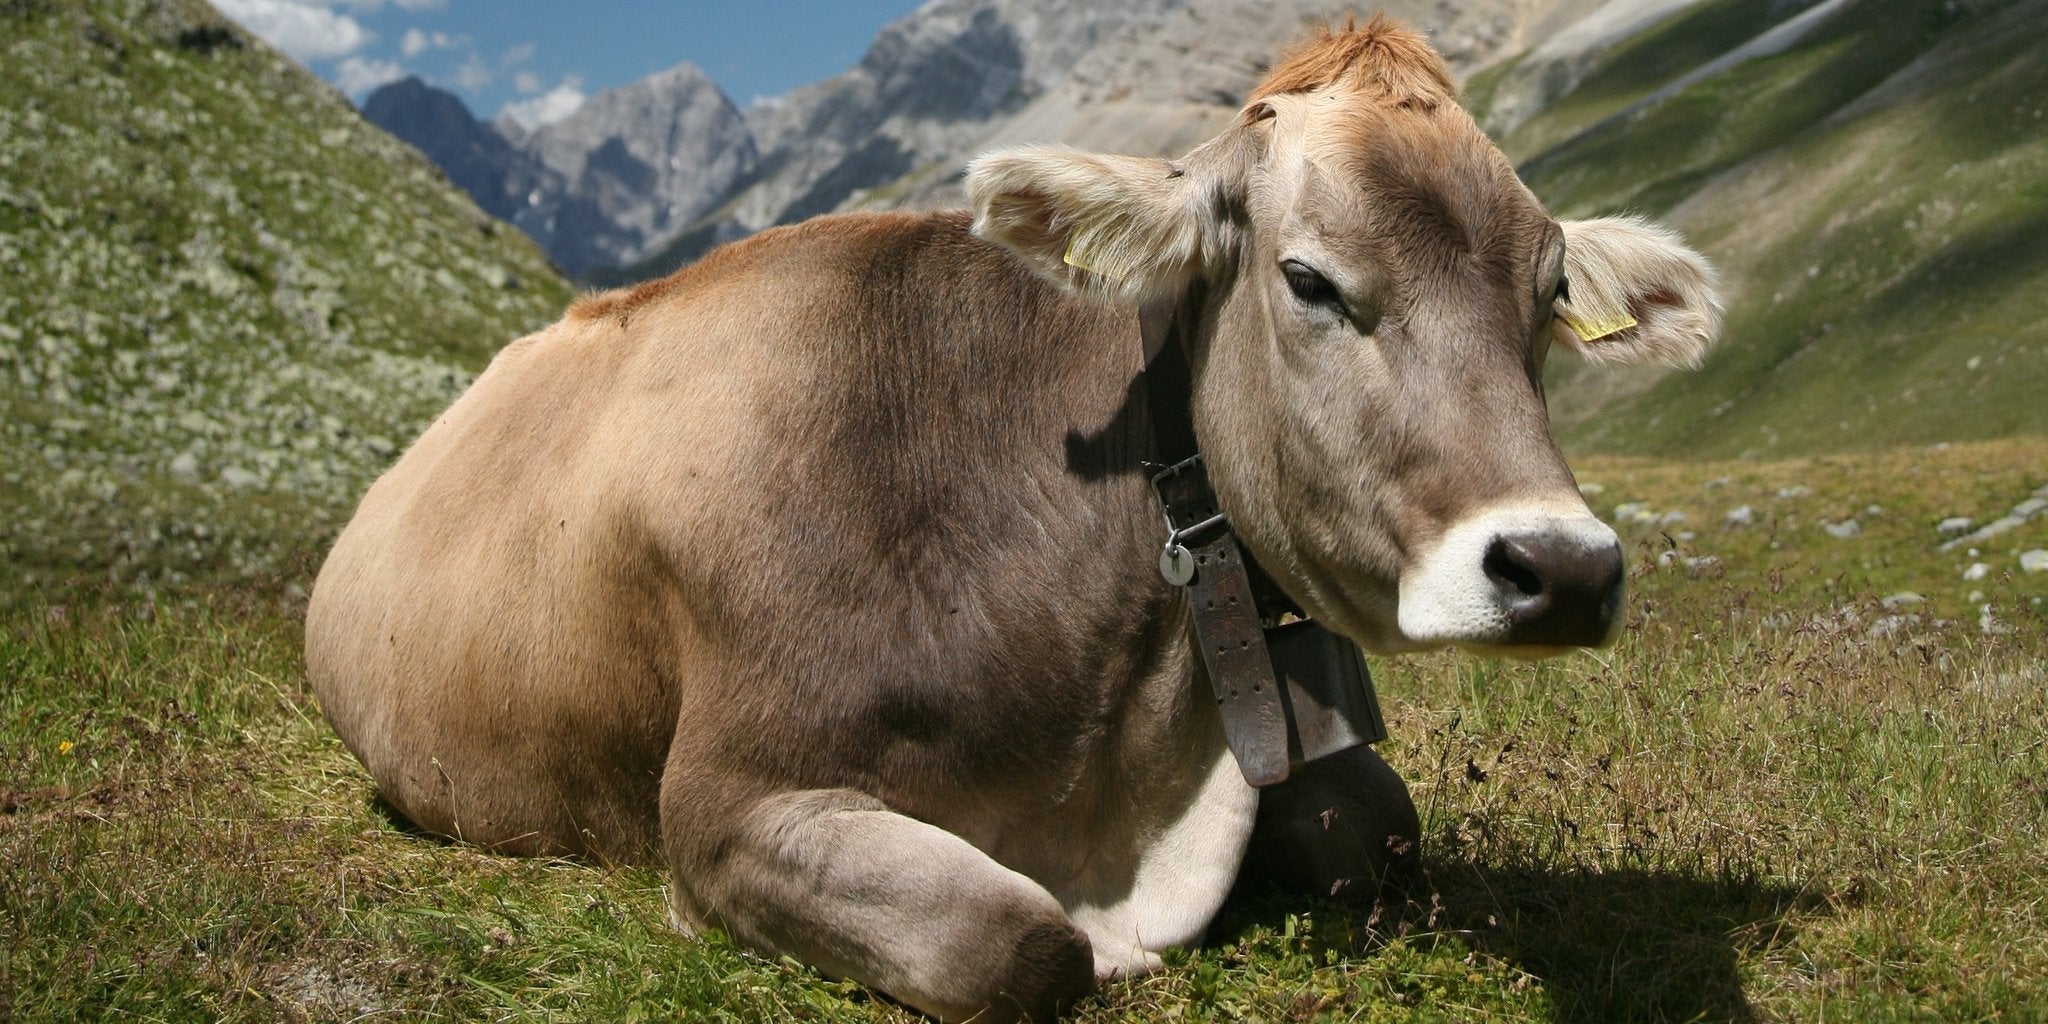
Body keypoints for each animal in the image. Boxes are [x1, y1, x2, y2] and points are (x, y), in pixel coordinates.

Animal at [306, 16, 1719, 1022]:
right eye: (1310, 279)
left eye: (1547, 294)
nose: (1560, 567)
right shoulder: (727, 805)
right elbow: (1018, 943)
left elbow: (1377, 827)